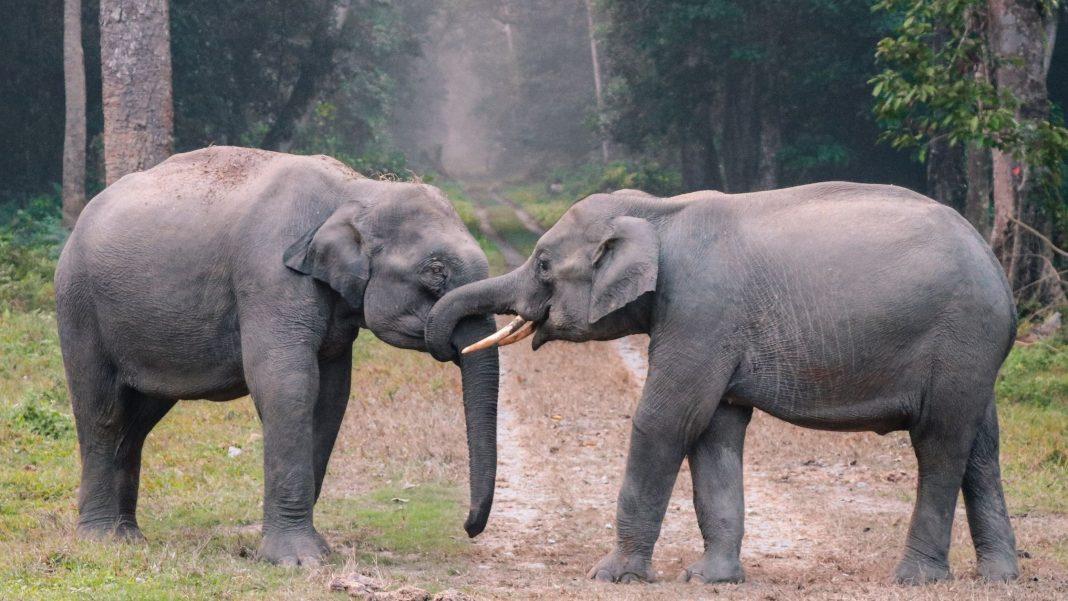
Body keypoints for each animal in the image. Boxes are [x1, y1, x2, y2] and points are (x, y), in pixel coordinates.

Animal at [55, 146, 499, 566]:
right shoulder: (269, 278)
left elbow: (332, 396)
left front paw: (315, 551)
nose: (469, 527)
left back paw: (129, 537)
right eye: (435, 271)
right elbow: (288, 387)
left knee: (138, 421)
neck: (356, 190)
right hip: (79, 305)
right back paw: (102, 539)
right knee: (102, 412)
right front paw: (298, 560)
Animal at [425, 182, 1019, 585]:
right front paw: (709, 579)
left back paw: (915, 578)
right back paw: (999, 577)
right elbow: (715, 430)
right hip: (975, 353)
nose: (470, 530)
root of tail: (1001, 273)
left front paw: (611, 576)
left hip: (961, 337)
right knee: (981, 447)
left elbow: (666, 419)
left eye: (544, 264)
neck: (658, 211)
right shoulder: (711, 328)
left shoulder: (701, 312)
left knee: (939, 444)